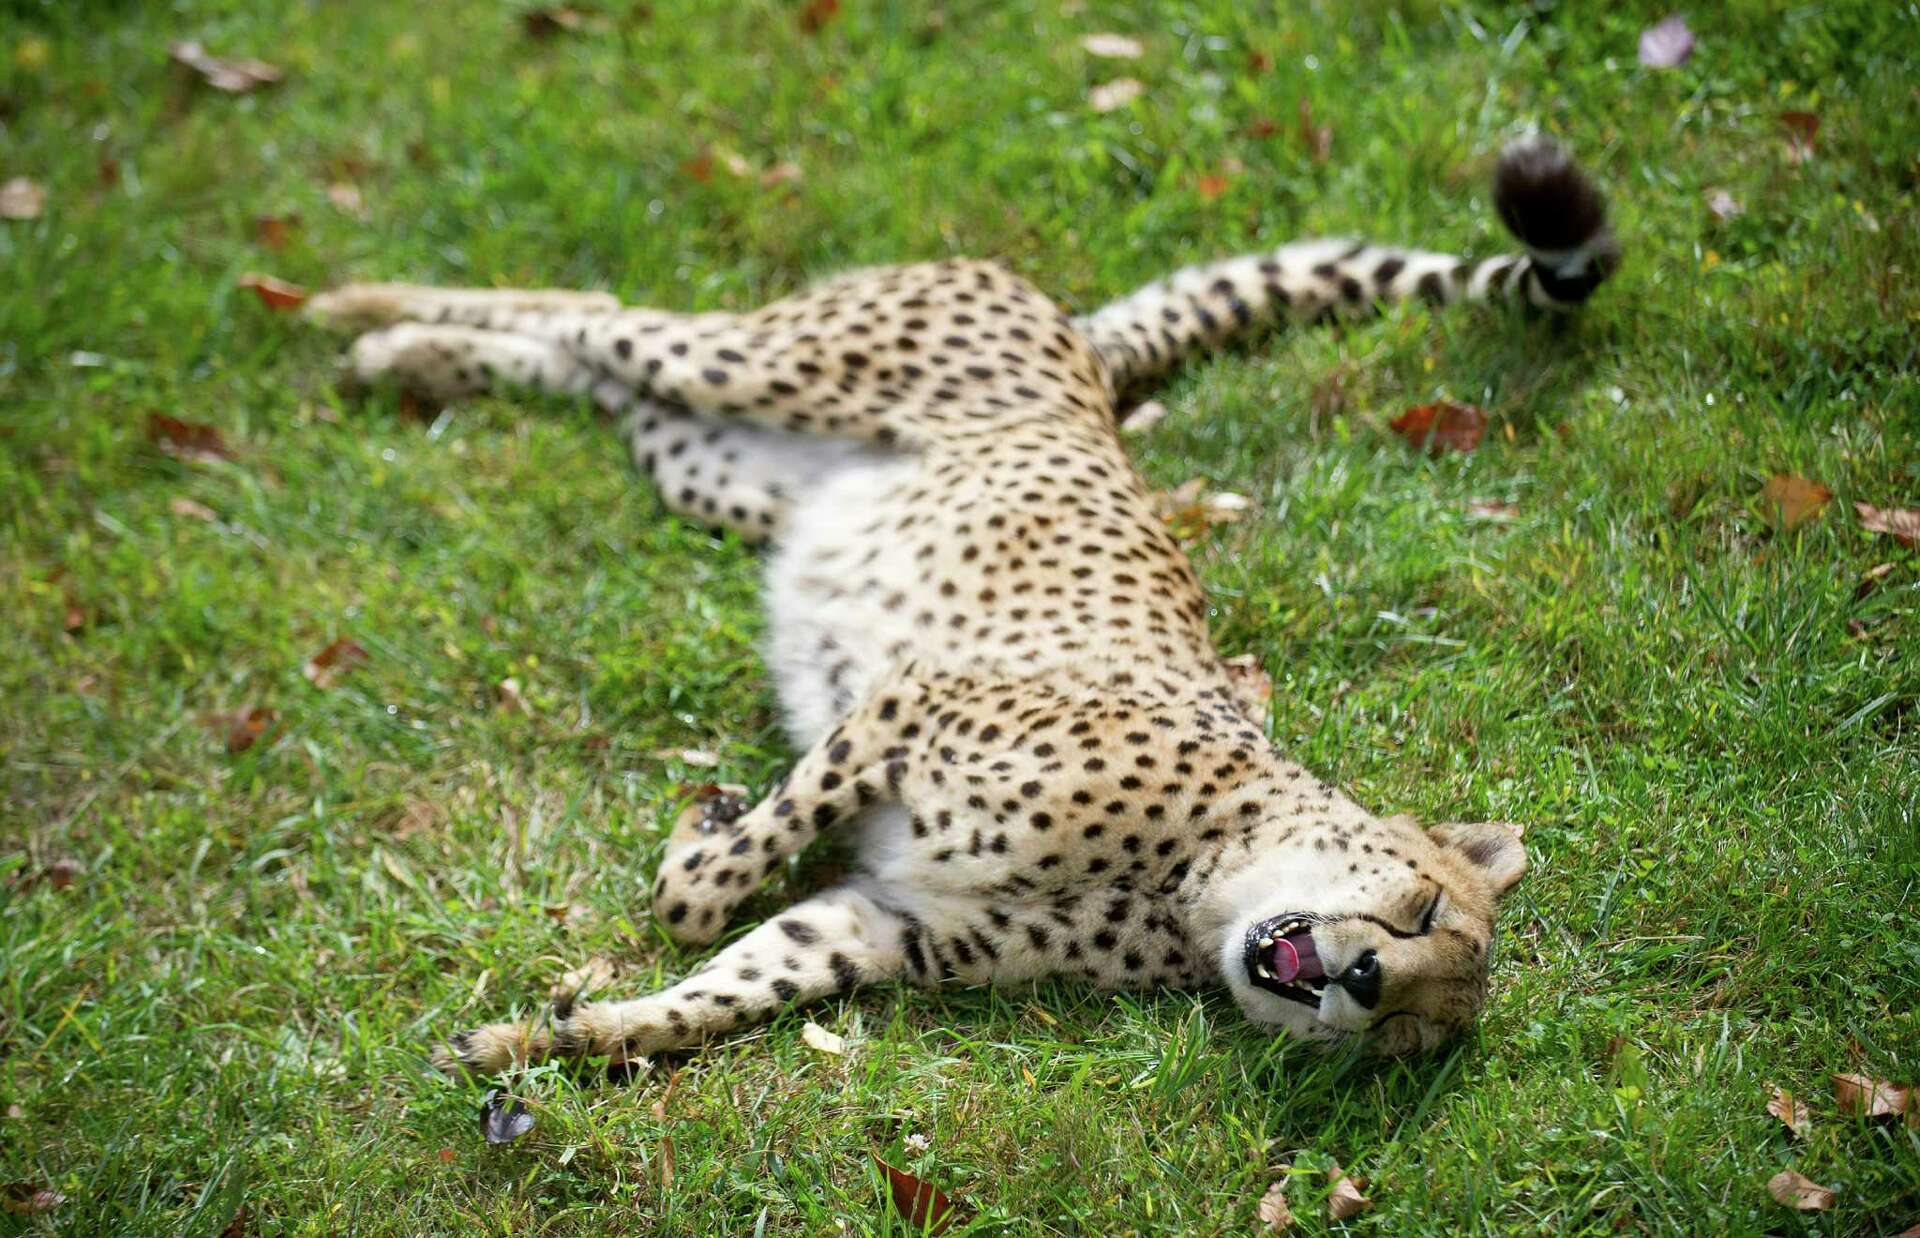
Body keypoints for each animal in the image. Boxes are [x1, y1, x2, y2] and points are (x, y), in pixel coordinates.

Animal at [303, 137, 1616, 1069]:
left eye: (1409, 1035)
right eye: (1418, 906)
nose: (1362, 982)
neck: (1200, 881)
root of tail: (1087, 358)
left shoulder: (881, 920)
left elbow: (720, 976)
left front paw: (551, 1038)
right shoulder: (909, 705)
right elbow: (701, 891)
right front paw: (702, 830)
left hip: (714, 465)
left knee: (591, 367)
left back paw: (407, 357)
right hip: (772, 365)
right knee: (590, 310)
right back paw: (355, 308)